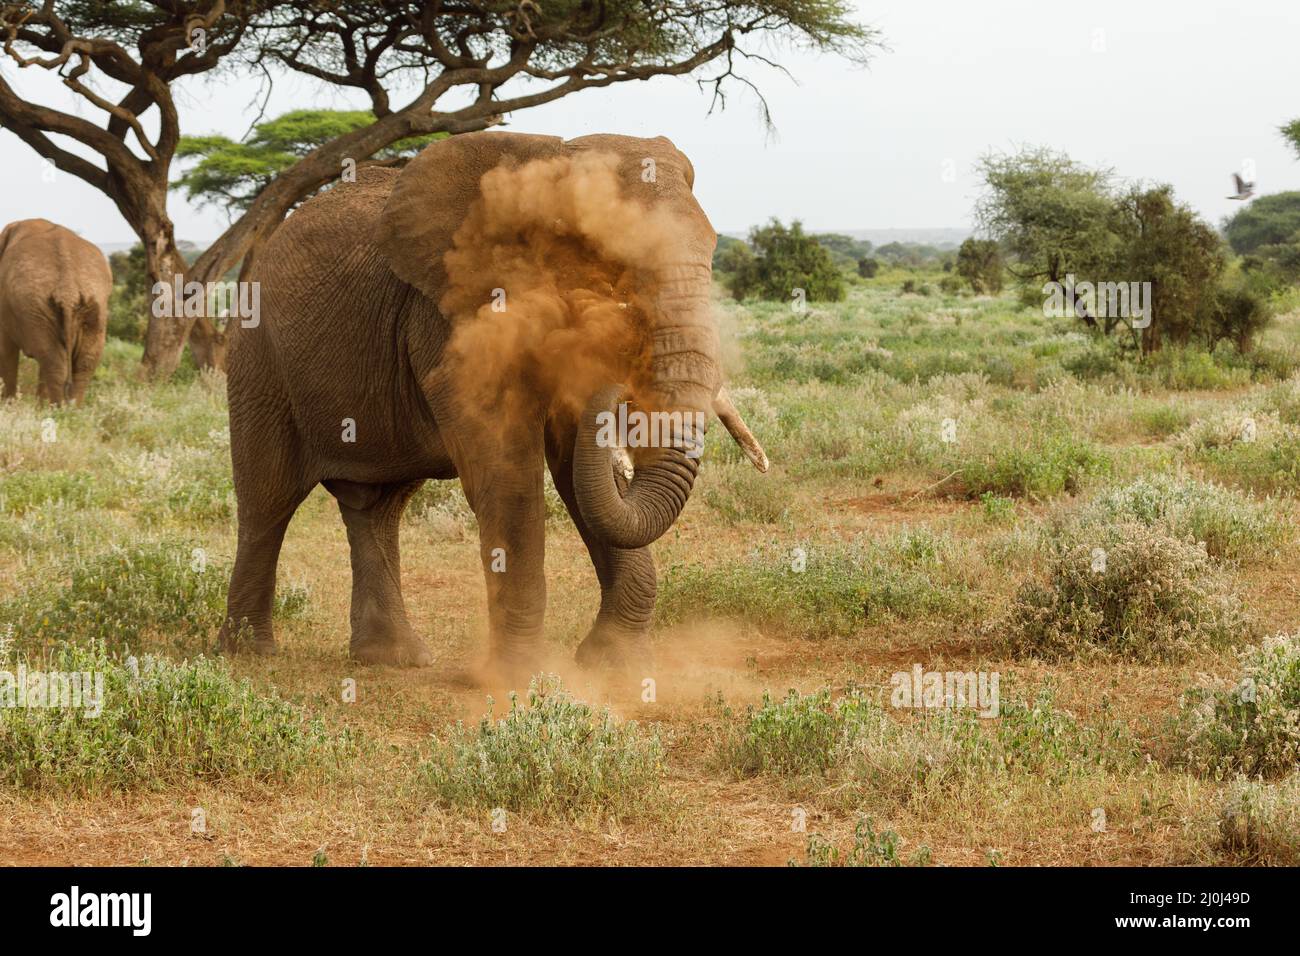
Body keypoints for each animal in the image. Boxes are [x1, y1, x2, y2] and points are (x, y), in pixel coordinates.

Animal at [0, 218, 112, 403]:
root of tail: (68, 288)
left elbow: (5, 350)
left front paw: (8, 406)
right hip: (93, 306)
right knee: (84, 362)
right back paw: (68, 409)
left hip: (36, 308)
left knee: (52, 360)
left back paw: (52, 409)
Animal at [218, 131, 768, 683]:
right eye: (608, 264)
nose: (618, 376)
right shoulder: (453, 318)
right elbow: (507, 472)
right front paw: (519, 679)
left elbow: (582, 471)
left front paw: (618, 668)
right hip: (258, 357)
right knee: (267, 499)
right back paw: (248, 652)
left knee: (376, 507)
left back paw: (392, 658)